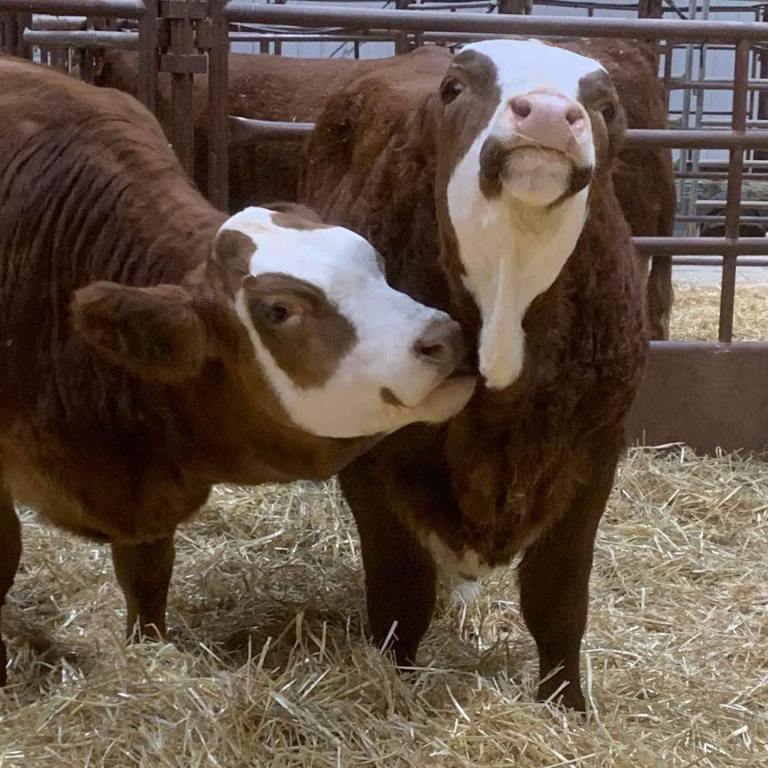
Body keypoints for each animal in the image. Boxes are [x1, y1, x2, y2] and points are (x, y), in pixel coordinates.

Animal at [297, 38, 648, 711]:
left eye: (607, 106)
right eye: (455, 88)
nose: (547, 113)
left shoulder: (594, 451)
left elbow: (558, 600)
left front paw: (566, 706)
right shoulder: (373, 466)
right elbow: (400, 595)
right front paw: (396, 685)